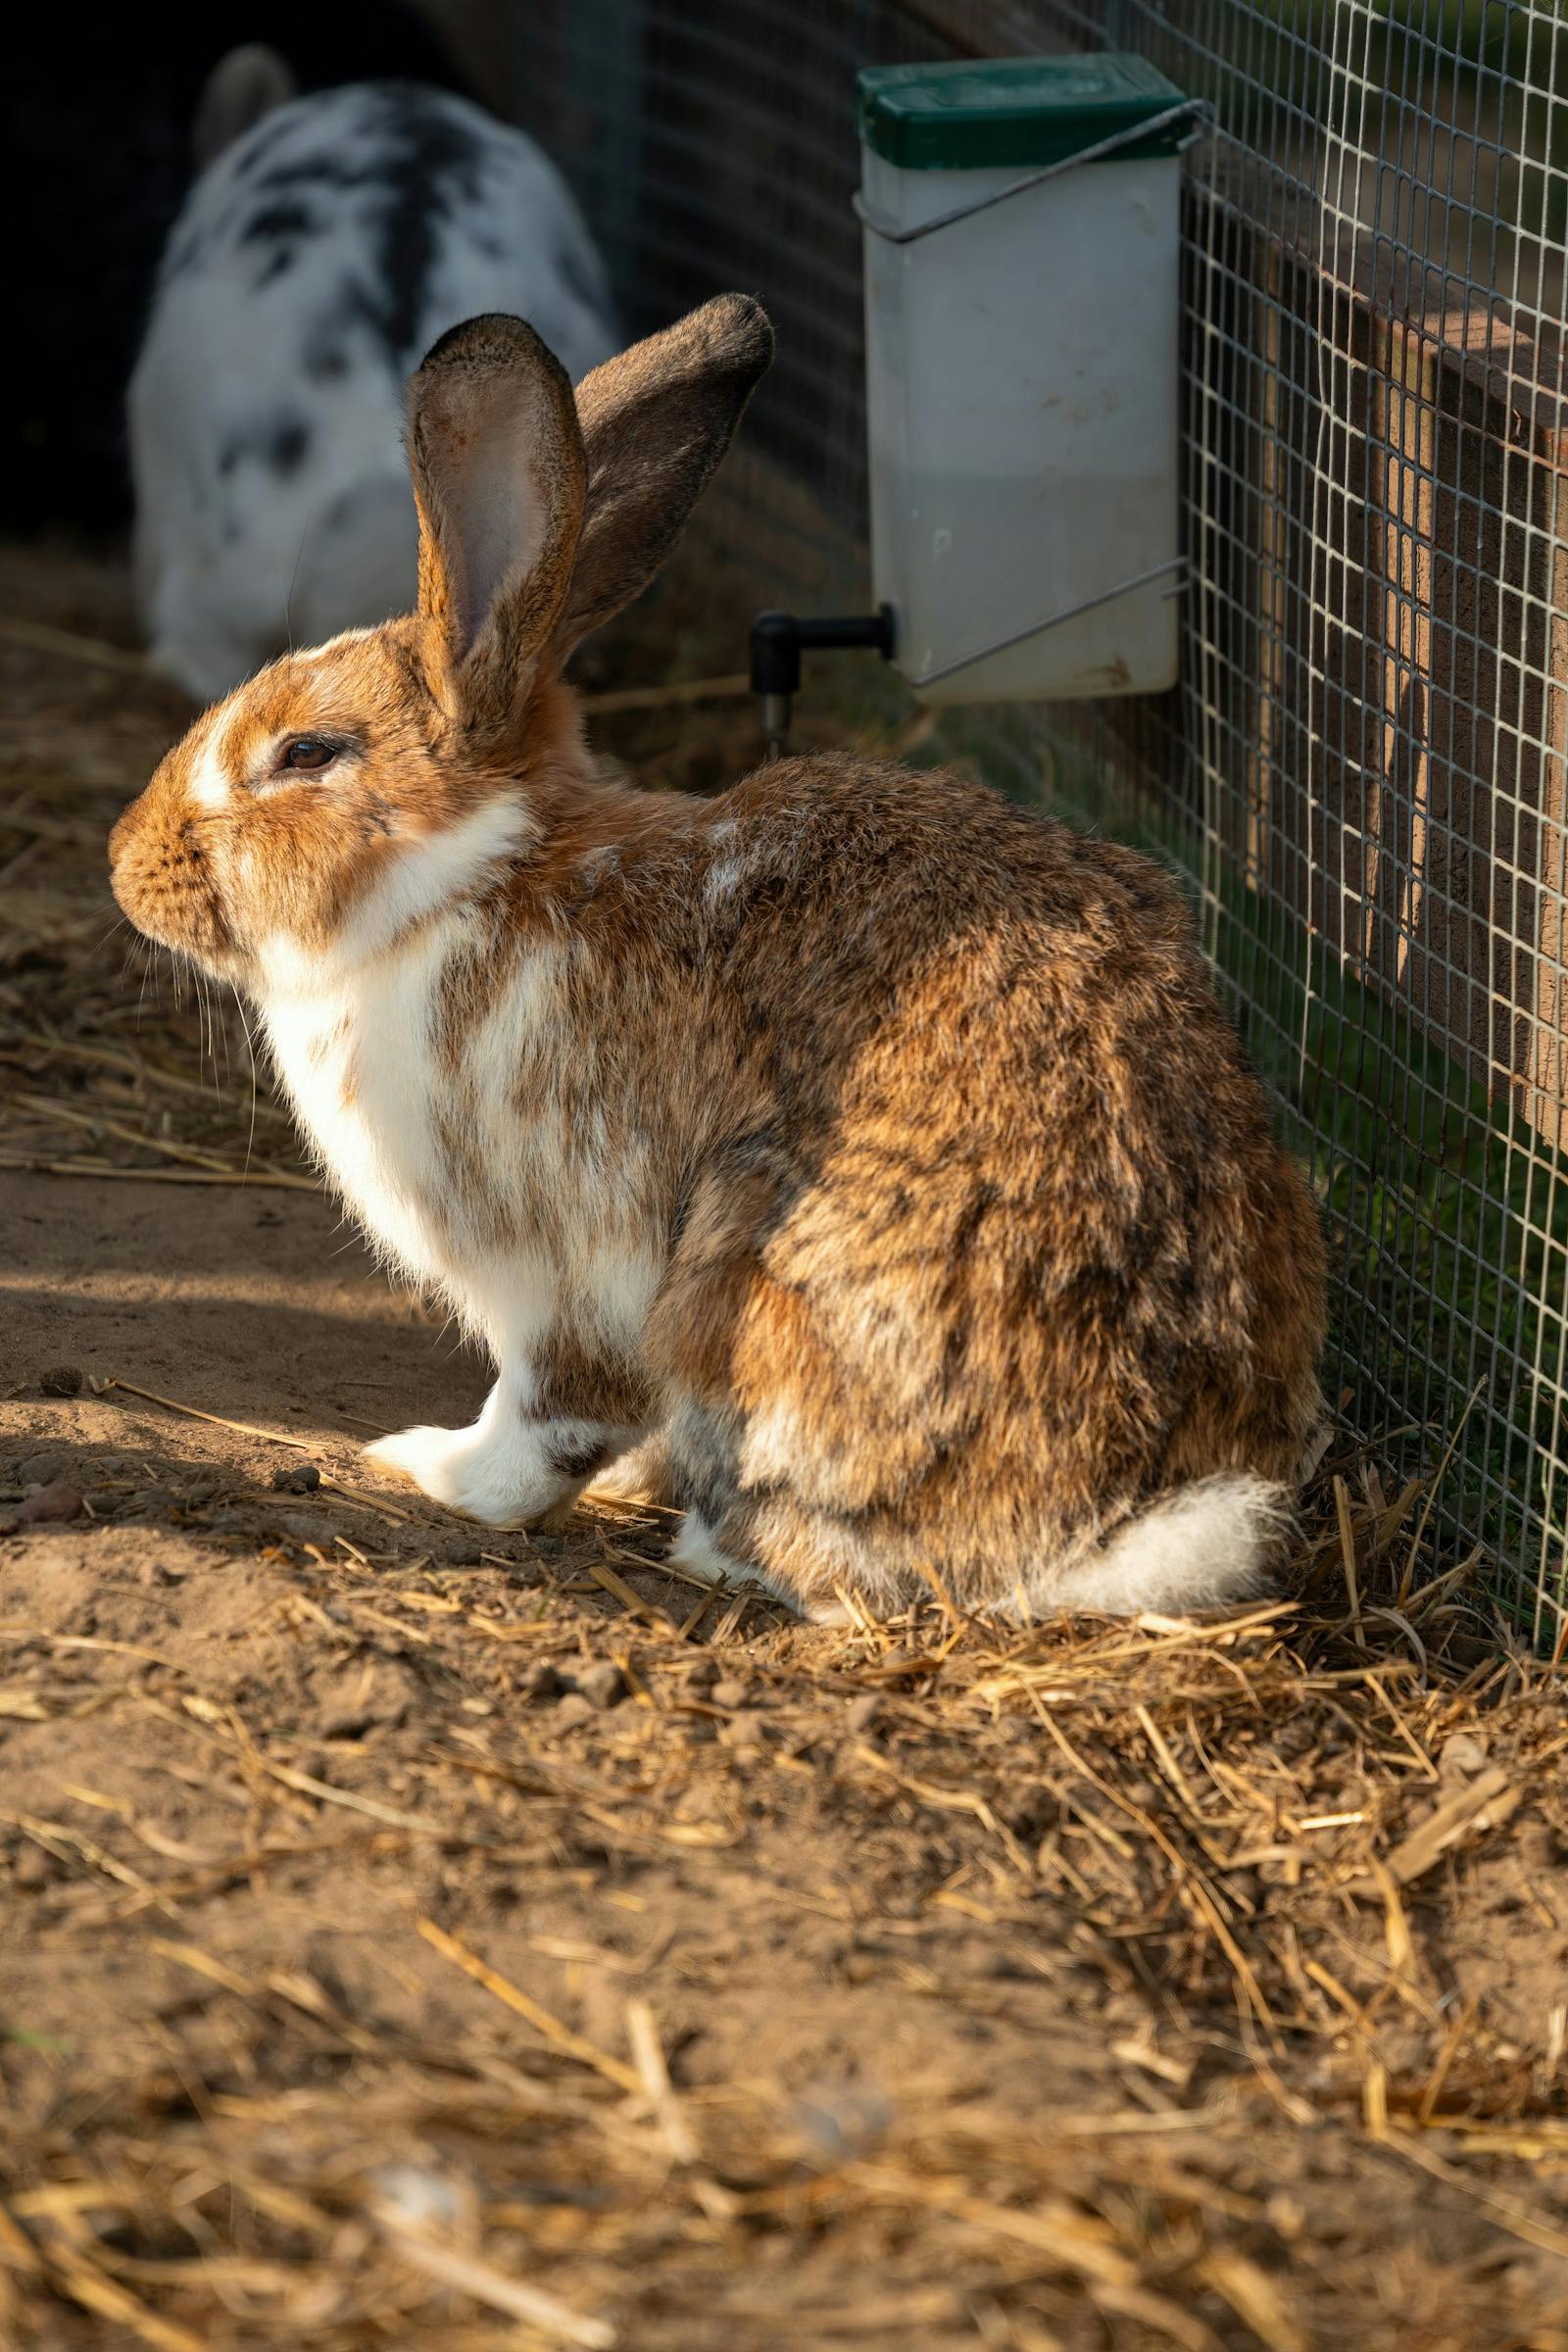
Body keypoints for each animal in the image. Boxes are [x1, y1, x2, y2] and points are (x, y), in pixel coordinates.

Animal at [109, 293, 1328, 1625]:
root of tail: (1119, 1527)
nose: (124, 863)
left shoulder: (559, 1267)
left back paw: (710, 1545)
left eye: (305, 754)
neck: (465, 881)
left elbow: (546, 1418)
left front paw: (433, 1471)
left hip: (740, 1284)